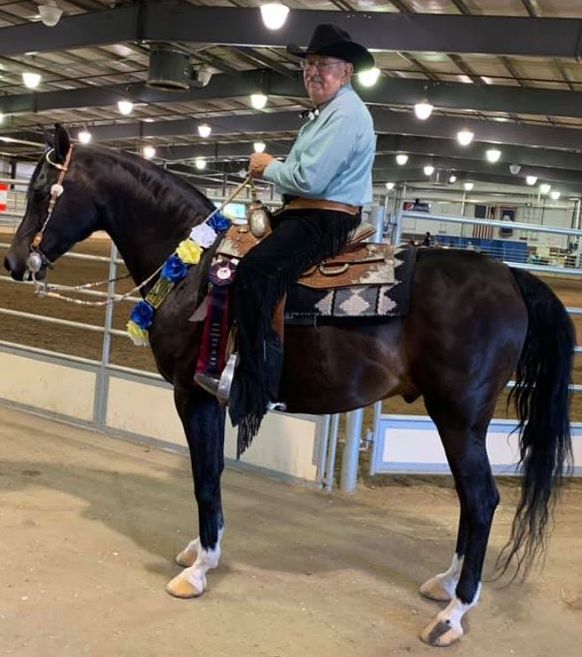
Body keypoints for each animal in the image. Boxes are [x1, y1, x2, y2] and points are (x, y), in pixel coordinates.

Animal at [4, 124, 575, 647]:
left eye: (42, 192)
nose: (13, 263)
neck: (194, 266)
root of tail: (509, 278)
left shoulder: (194, 394)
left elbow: (204, 477)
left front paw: (198, 568)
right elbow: (211, 473)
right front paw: (202, 552)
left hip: (458, 416)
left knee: (481, 499)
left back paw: (453, 615)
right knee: (470, 500)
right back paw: (445, 584)